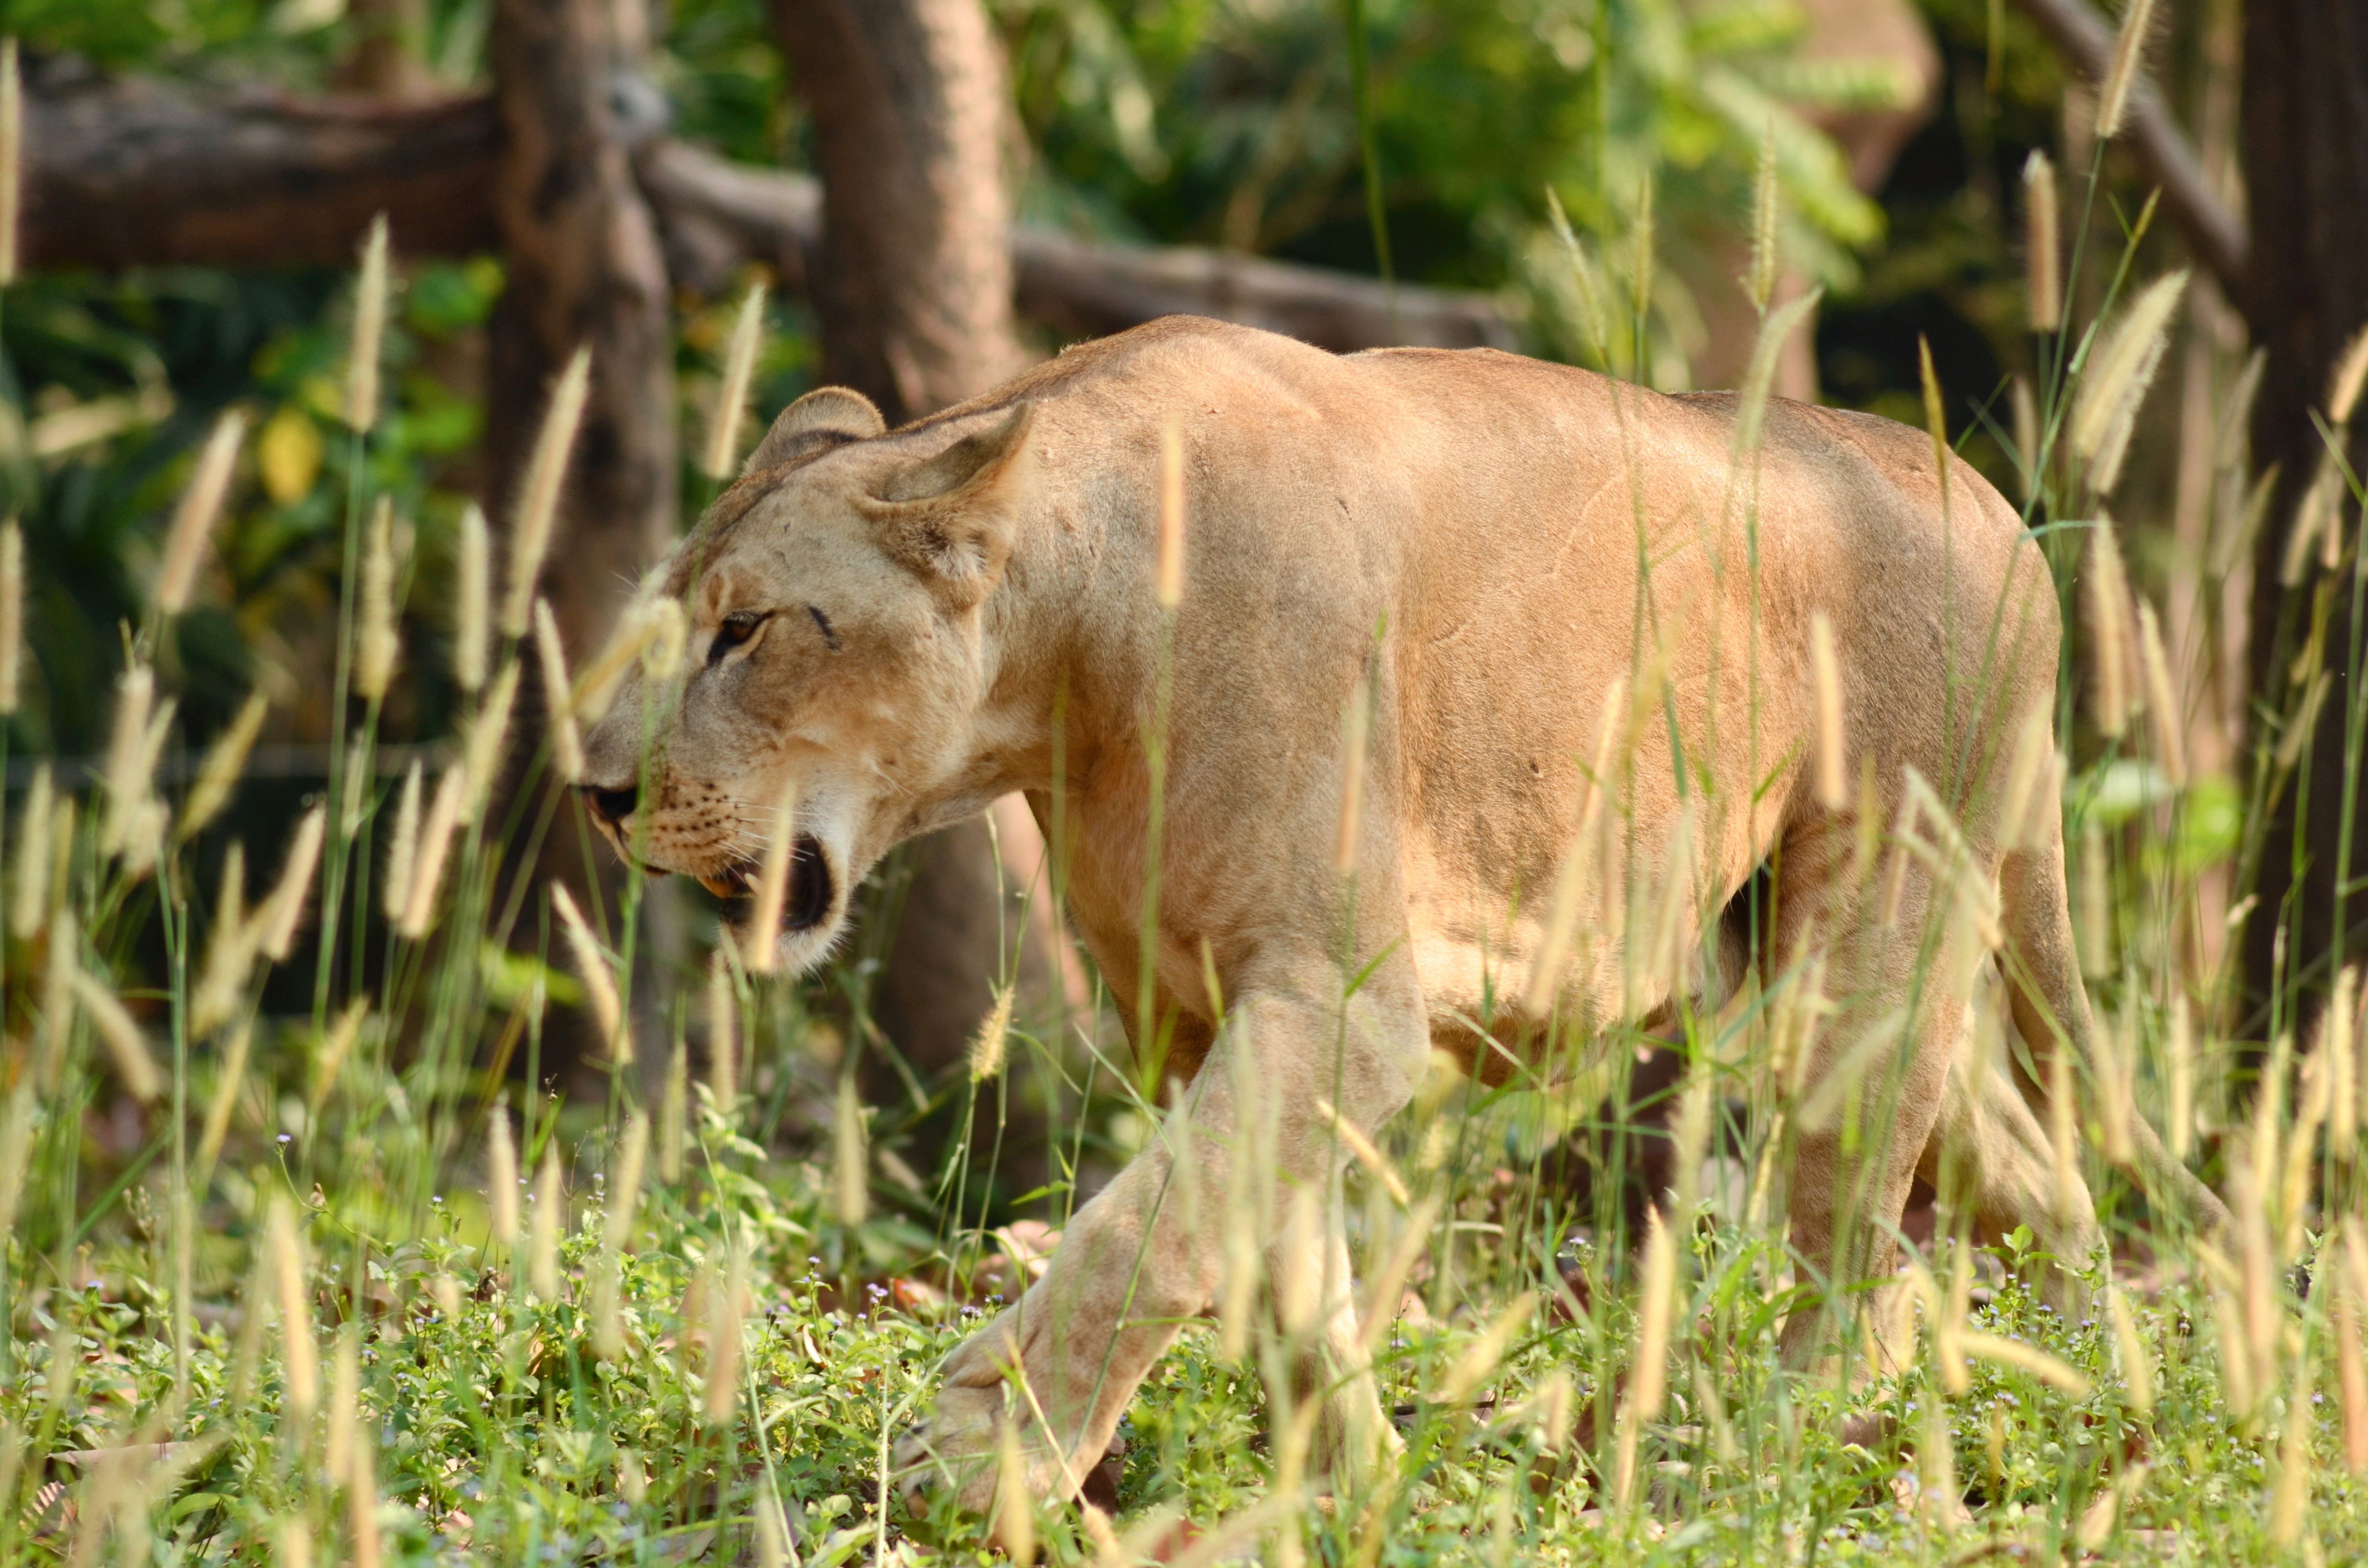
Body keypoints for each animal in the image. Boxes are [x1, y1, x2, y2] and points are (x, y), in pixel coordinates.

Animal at [578, 315, 2226, 1509]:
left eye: (746, 629)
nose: (596, 787)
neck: (1063, 677)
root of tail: (2000, 512)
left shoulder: (1342, 997)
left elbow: (1146, 1231)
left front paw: (980, 1454)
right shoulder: (1201, 1016)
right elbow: (1262, 1255)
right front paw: (1360, 1475)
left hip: (1867, 941)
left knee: (1848, 1233)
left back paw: (1785, 1448)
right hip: (1818, 973)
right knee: (2014, 1182)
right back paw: (2105, 1392)